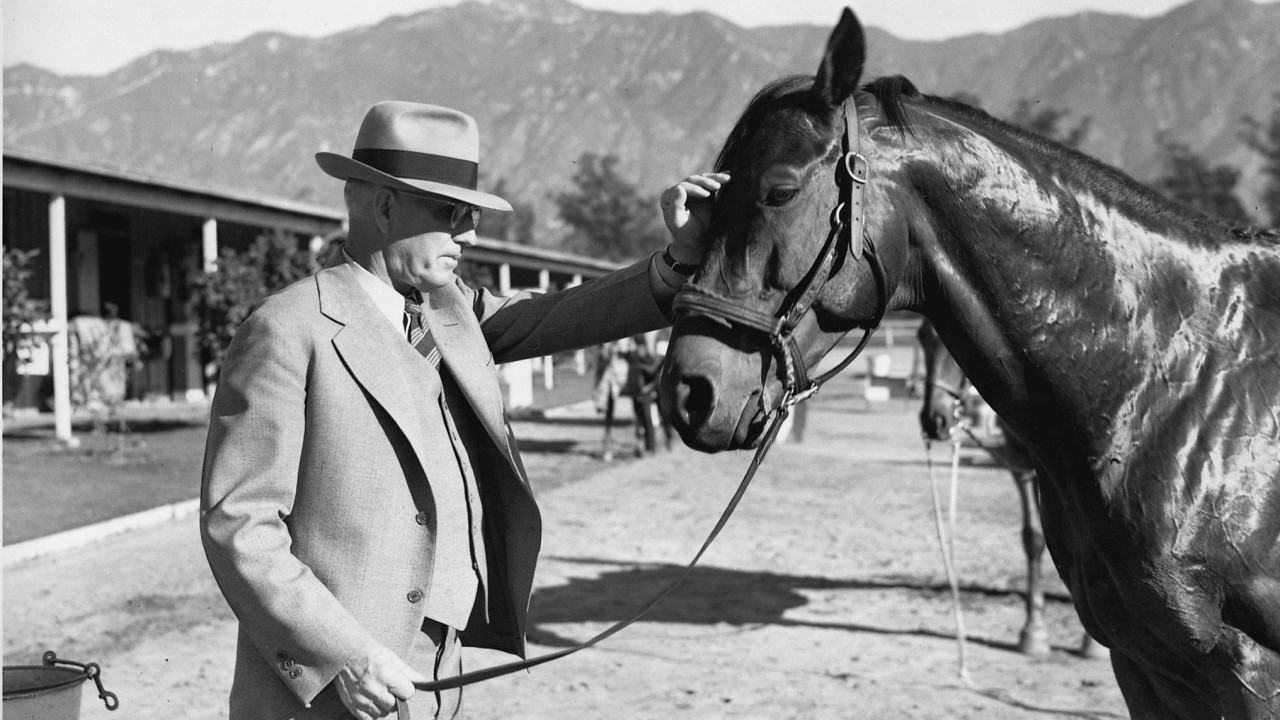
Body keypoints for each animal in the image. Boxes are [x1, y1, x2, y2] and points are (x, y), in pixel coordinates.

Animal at [918, 317, 1103, 659]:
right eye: (921, 337)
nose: (933, 419)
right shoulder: (1020, 463)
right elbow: (1032, 538)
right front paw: (1034, 631)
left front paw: (1093, 645)